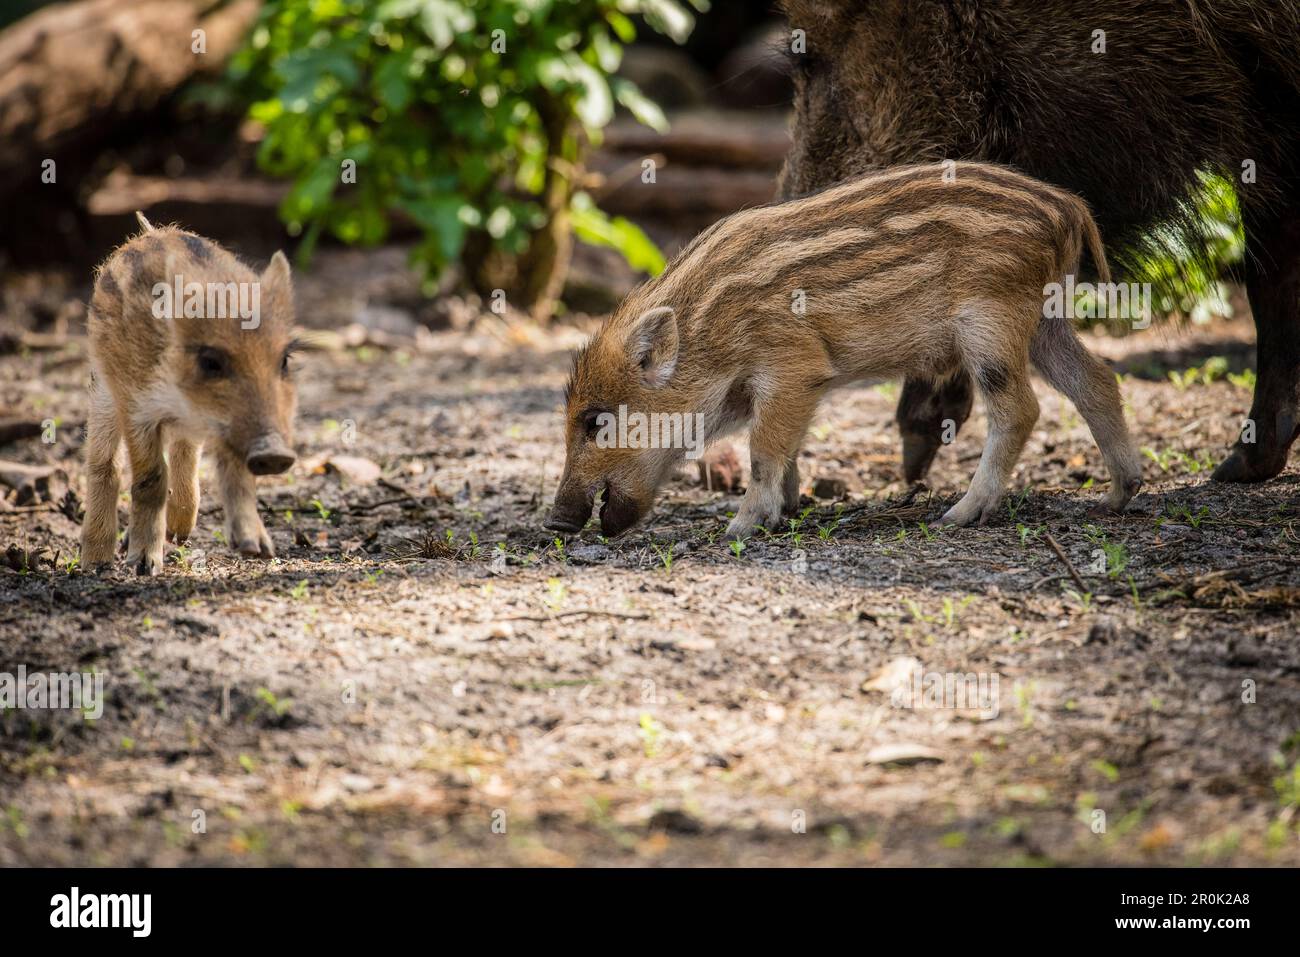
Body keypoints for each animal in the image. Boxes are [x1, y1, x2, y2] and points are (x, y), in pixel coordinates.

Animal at [80, 214, 298, 575]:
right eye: (210, 361)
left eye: (284, 360)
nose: (275, 453)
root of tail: (150, 232)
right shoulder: (136, 406)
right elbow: (150, 478)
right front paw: (144, 565)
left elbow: (237, 474)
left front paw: (257, 549)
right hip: (102, 393)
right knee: (104, 464)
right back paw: (96, 563)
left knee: (185, 452)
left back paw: (179, 534)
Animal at [547, 162, 1143, 538]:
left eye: (597, 422)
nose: (555, 521)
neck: (709, 331)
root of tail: (1069, 208)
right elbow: (783, 448)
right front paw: (786, 512)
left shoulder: (793, 366)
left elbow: (763, 447)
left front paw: (741, 526)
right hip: (1045, 322)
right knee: (1097, 381)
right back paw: (1118, 496)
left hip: (991, 322)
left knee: (1020, 409)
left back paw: (958, 516)